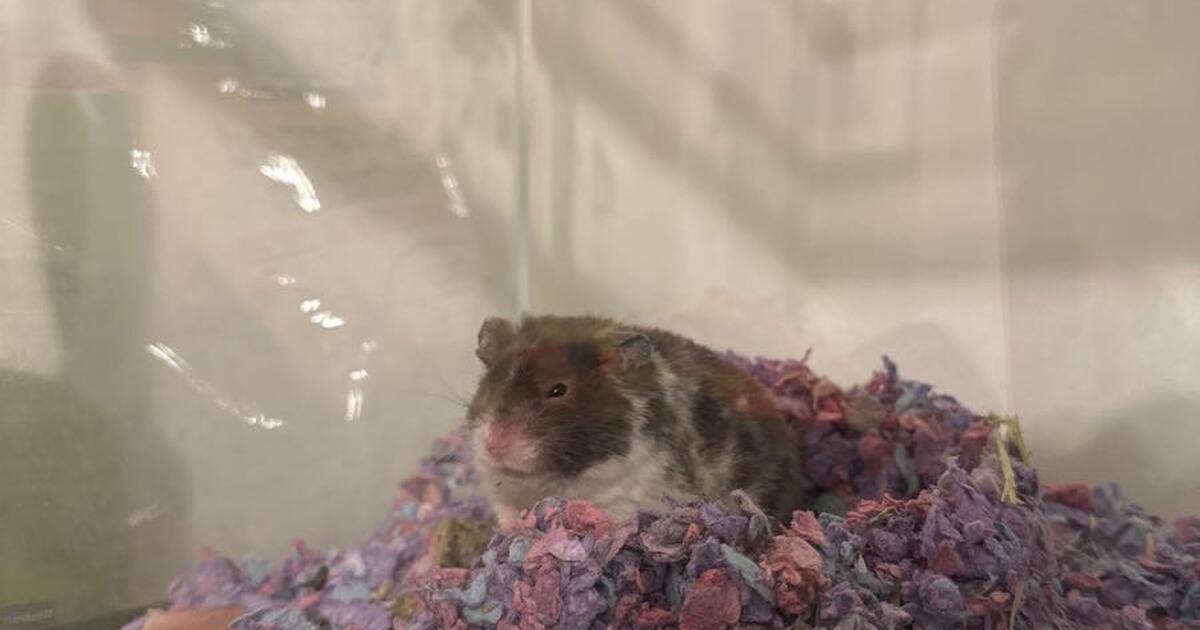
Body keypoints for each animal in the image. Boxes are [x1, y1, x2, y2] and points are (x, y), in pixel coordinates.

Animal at [466, 314, 810, 528]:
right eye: (490, 382)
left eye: (558, 389)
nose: (494, 444)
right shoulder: (495, 486)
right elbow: (505, 512)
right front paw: (519, 527)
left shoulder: (627, 500)